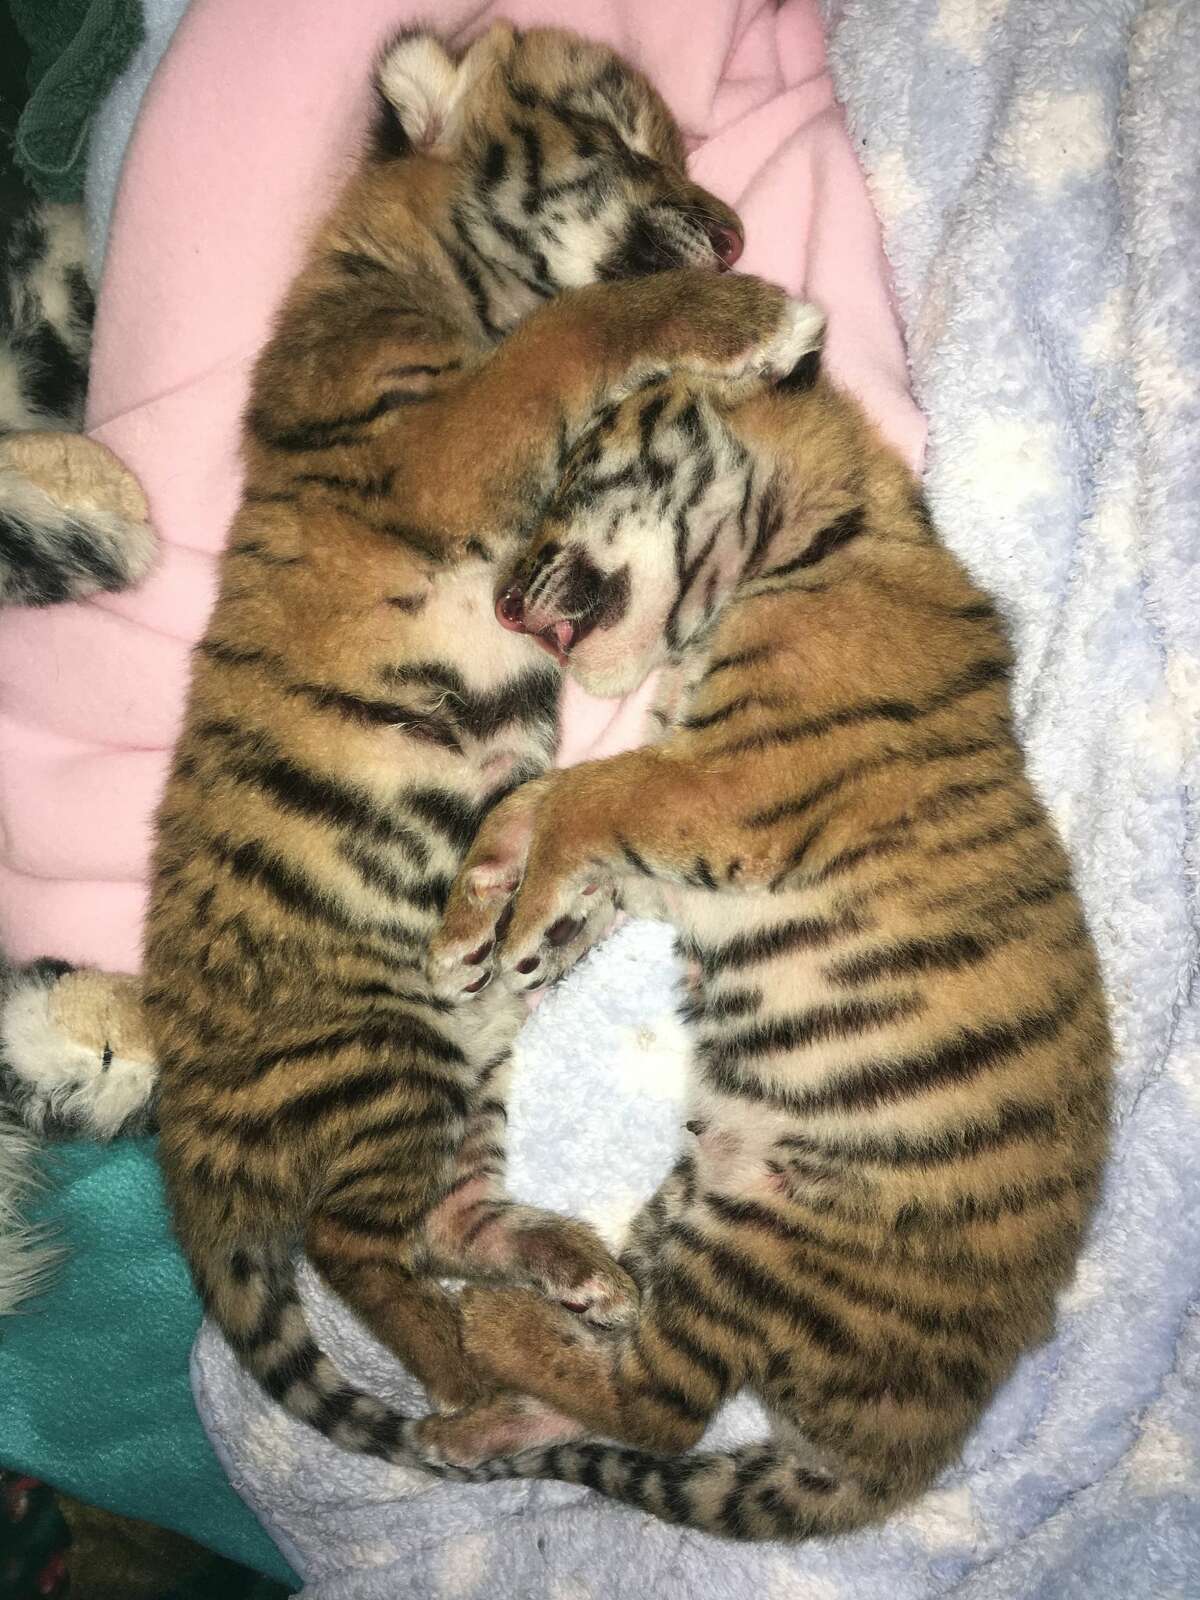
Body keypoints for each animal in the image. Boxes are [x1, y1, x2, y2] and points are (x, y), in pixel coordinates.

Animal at [142, 20, 808, 1465]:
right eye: (620, 136)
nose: (737, 229)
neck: (418, 259)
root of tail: (191, 1149)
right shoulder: (433, 441)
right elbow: (576, 329)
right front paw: (752, 321)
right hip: (378, 1052)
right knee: (358, 1246)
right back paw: (485, 1398)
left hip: (473, 1052)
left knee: (443, 1220)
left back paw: (573, 1273)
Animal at [418, 299, 1113, 1540]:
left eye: (577, 469)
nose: (498, 601)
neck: (815, 533)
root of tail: (910, 1447)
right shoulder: (679, 839)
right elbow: (532, 800)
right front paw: (474, 933)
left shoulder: (722, 787)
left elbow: (584, 793)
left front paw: (523, 924)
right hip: (699, 1199)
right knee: (627, 1385)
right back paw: (475, 1417)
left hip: (778, 1237)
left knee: (663, 1405)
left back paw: (484, 1331)